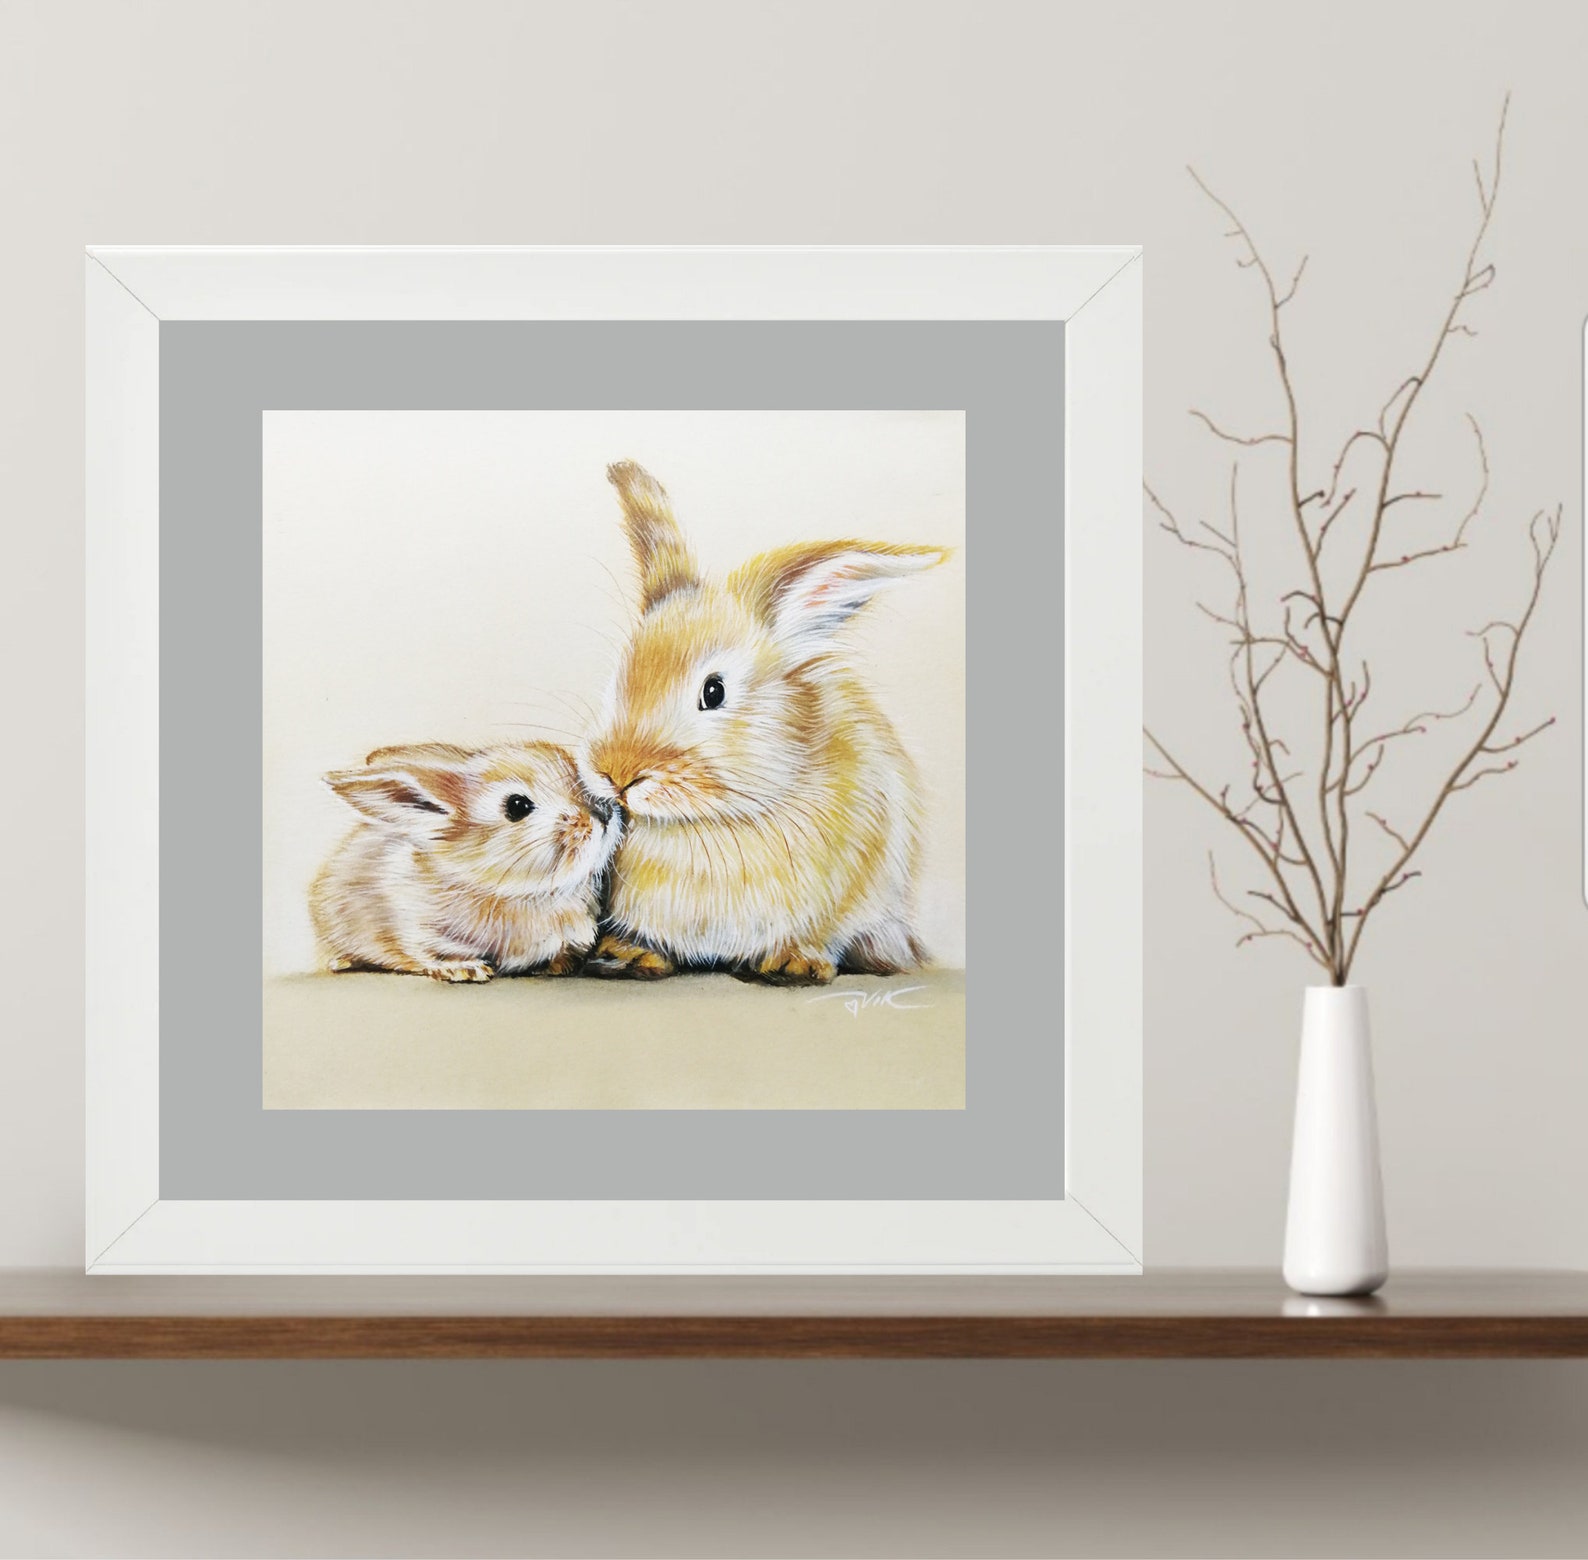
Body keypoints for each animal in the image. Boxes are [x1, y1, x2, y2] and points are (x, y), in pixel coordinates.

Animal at [310, 740, 621, 981]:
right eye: (517, 806)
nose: (603, 813)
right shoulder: (412, 927)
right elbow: (423, 953)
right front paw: (464, 969)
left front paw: (555, 967)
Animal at [581, 460, 950, 986]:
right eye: (617, 679)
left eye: (713, 692)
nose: (617, 774)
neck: (715, 821)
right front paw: (630, 954)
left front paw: (796, 961)